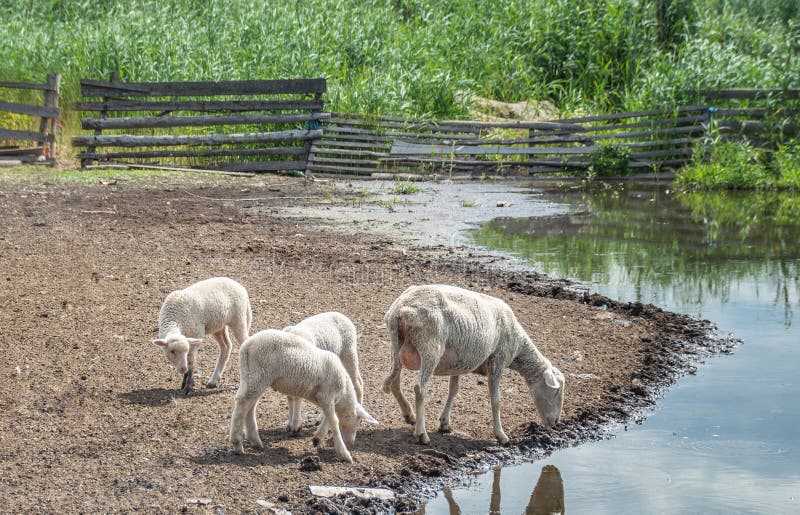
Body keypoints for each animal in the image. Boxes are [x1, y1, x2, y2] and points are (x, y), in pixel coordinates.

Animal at [228, 329, 378, 463]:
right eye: (359, 421)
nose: (351, 442)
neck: (343, 393)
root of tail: (246, 346)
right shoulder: (327, 395)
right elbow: (334, 422)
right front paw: (344, 453)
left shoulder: (324, 399)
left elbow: (328, 418)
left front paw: (318, 438)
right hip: (258, 375)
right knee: (243, 404)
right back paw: (237, 442)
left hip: (253, 377)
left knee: (250, 406)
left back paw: (255, 440)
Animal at [382, 284, 565, 446]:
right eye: (556, 391)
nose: (556, 422)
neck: (518, 345)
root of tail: (400, 308)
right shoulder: (497, 360)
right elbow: (496, 400)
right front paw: (501, 435)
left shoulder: (459, 362)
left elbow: (453, 390)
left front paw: (445, 423)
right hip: (430, 346)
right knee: (419, 388)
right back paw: (422, 434)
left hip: (397, 343)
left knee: (394, 381)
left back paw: (409, 414)